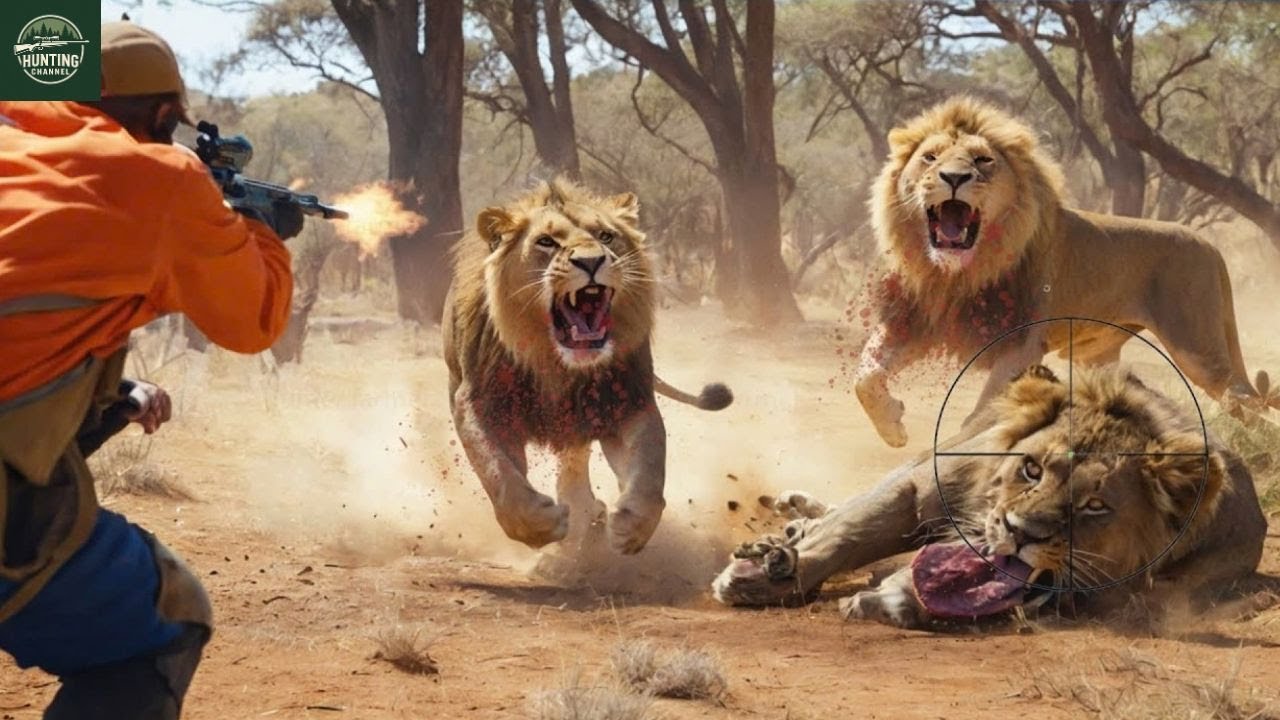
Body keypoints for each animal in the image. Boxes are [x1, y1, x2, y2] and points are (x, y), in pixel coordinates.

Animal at [443, 178, 732, 555]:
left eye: (606, 236)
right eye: (546, 242)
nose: (592, 261)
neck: (555, 365)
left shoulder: (626, 401)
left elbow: (650, 468)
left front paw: (630, 528)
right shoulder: (479, 403)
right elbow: (500, 474)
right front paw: (540, 524)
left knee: (575, 458)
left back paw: (584, 510)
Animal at [712, 364, 1267, 628]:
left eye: (1096, 506)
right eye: (1031, 468)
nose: (1021, 534)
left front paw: (895, 598)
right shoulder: (921, 487)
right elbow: (849, 530)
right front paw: (763, 573)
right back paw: (788, 529)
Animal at [856, 95, 1266, 448]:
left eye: (983, 160)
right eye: (929, 157)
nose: (954, 177)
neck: (955, 275)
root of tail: (1208, 244)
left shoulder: (1021, 342)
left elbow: (981, 413)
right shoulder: (915, 320)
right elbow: (865, 375)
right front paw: (892, 426)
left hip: (1197, 348)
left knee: (1245, 401)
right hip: (1098, 353)